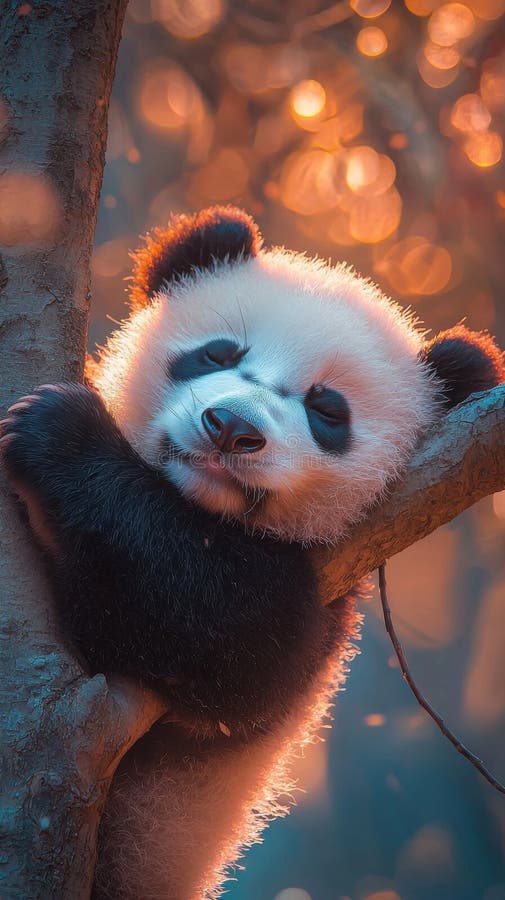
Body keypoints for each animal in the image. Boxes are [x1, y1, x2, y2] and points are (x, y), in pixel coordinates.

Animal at [1, 206, 503, 900]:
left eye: (327, 411)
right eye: (217, 352)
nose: (231, 428)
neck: (188, 504)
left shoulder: (324, 604)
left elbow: (230, 639)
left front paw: (60, 431)